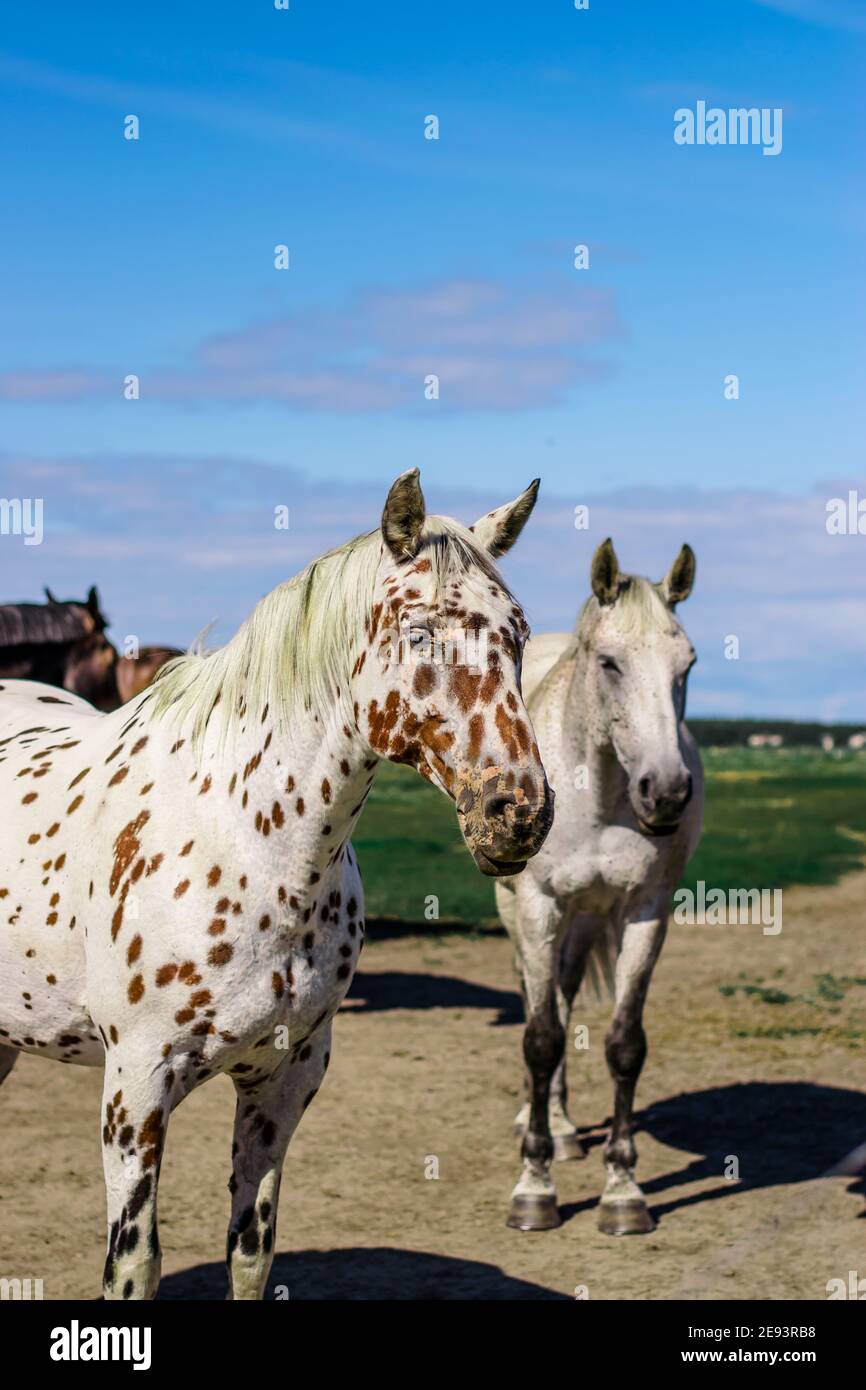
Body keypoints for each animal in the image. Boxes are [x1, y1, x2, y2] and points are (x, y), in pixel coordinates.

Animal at [0, 469, 554, 1300]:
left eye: (517, 633)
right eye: (419, 631)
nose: (517, 813)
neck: (247, 844)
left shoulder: (283, 1079)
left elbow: (252, 1249)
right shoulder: (136, 1087)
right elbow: (133, 1265)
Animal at [494, 538, 703, 1235]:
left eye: (687, 665)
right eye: (610, 663)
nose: (666, 792)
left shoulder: (645, 912)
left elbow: (623, 1044)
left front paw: (623, 1192)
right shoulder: (538, 906)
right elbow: (539, 1039)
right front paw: (533, 1188)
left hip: (585, 919)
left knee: (560, 994)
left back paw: (560, 1128)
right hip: (522, 913)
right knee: (538, 1002)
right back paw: (540, 1128)